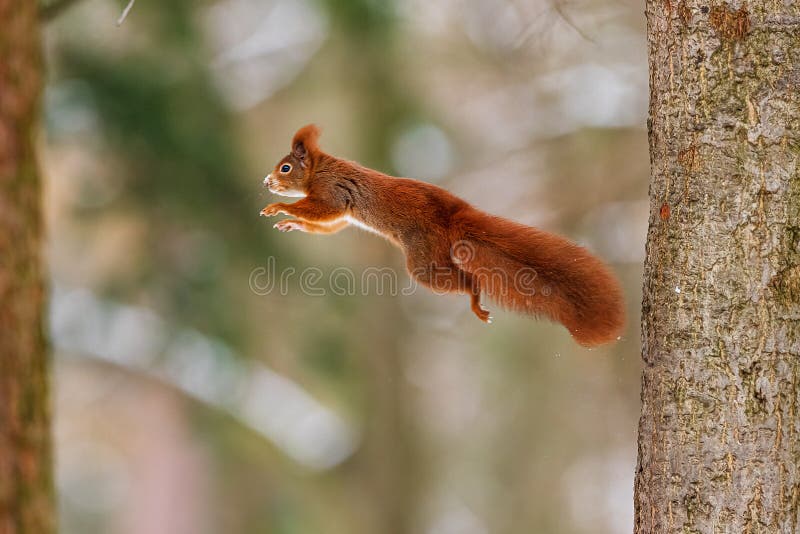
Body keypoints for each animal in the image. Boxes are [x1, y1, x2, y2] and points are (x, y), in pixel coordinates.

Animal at [260, 125, 624, 347]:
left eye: (285, 168)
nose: (266, 182)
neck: (319, 169)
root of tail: (451, 216)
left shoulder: (333, 193)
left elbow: (320, 210)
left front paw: (278, 208)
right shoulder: (341, 215)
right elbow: (328, 225)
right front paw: (290, 223)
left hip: (423, 261)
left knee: (466, 280)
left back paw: (476, 300)